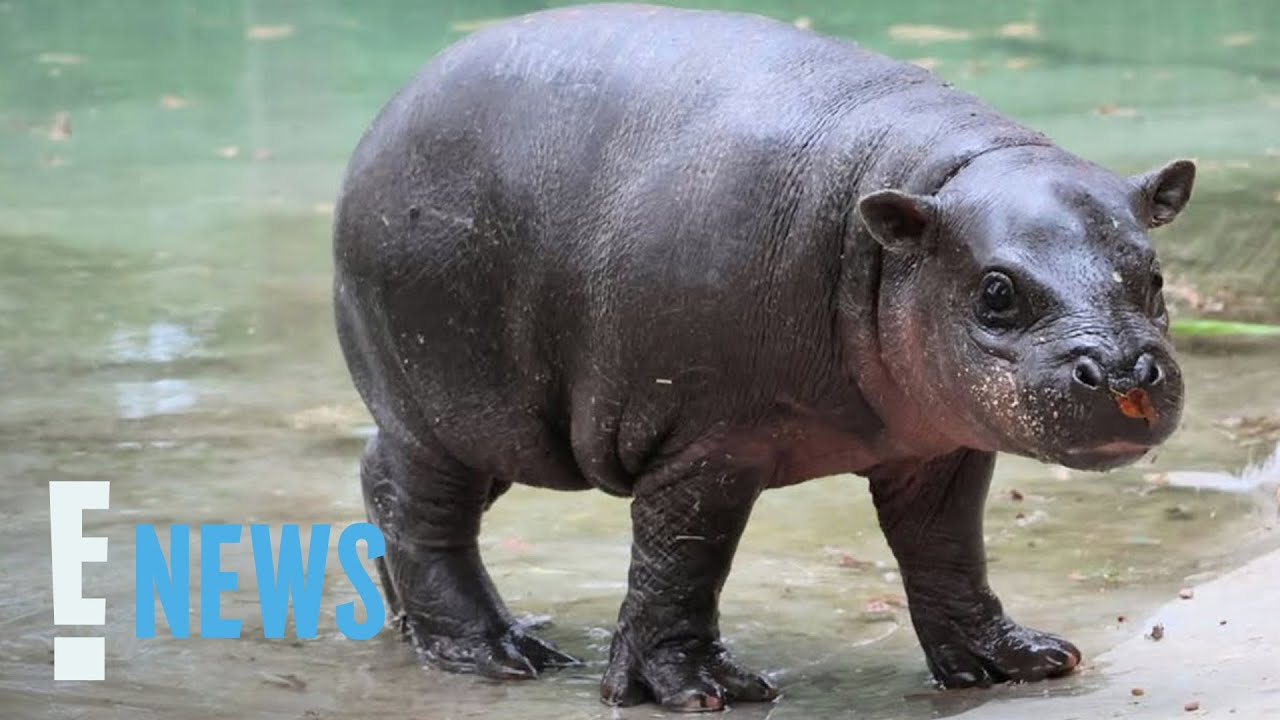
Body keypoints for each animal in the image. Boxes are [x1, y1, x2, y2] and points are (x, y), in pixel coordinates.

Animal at [333, 4, 1194, 711]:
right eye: (996, 291)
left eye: (1153, 274)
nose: (1125, 372)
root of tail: (389, 114)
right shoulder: (703, 442)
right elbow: (681, 561)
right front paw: (698, 690)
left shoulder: (940, 447)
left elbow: (948, 548)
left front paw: (1019, 662)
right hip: (441, 402)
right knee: (423, 512)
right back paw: (500, 653)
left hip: (501, 426)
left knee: (381, 479)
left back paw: (422, 626)